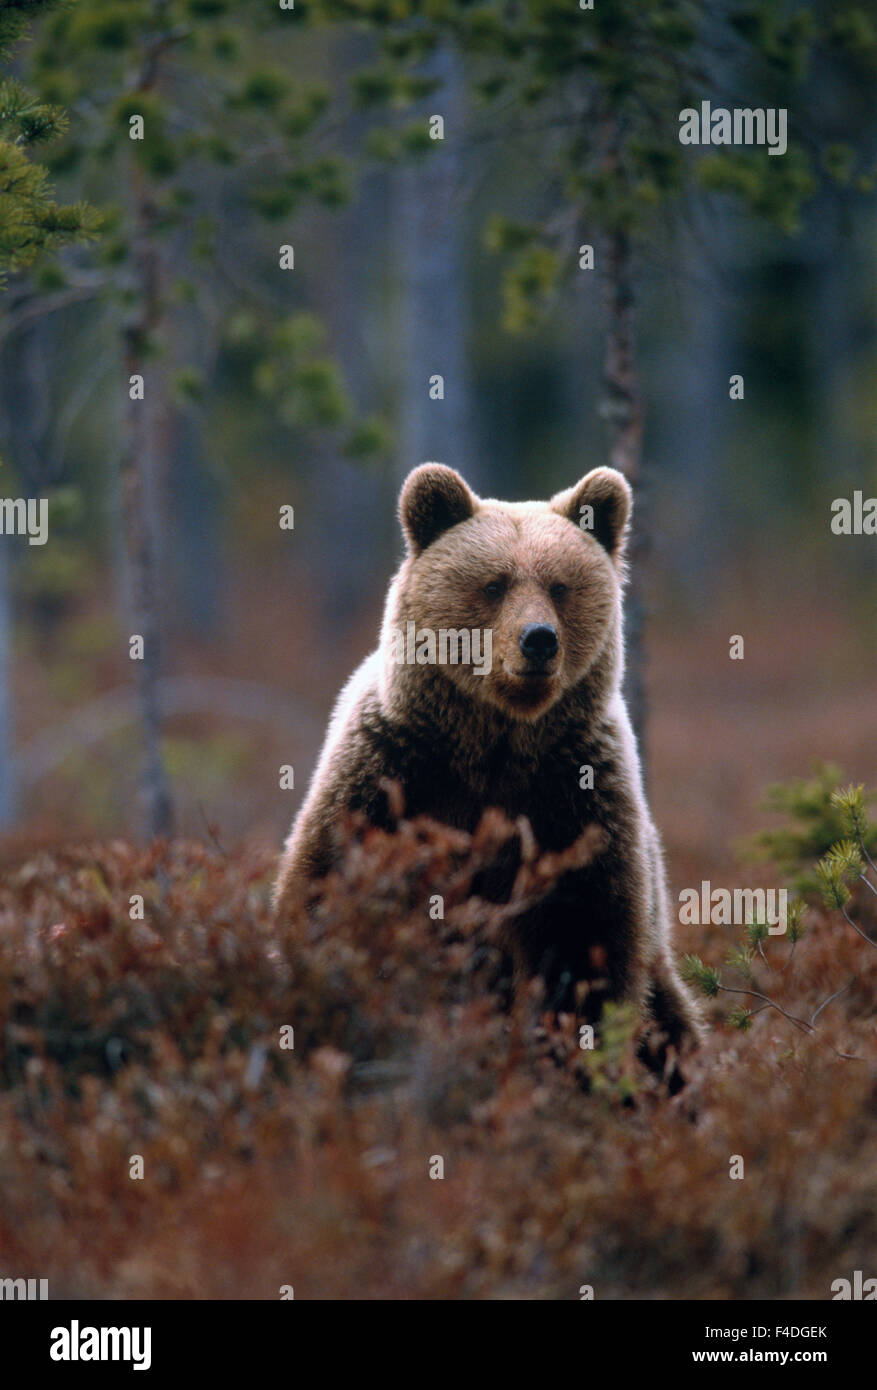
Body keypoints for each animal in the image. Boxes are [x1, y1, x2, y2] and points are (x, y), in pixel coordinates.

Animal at [274, 462, 703, 1053]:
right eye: (494, 584)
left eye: (559, 586)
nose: (539, 640)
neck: (494, 745)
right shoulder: (389, 774)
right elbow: (326, 889)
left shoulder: (578, 797)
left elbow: (589, 942)